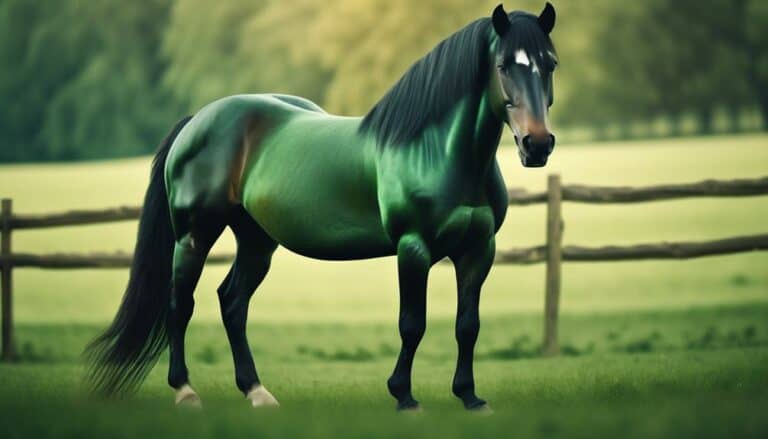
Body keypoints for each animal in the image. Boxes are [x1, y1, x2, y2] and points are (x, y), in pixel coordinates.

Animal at [86, 3, 558, 411]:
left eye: (550, 63)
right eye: (504, 66)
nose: (536, 144)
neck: (436, 150)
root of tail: (198, 120)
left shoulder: (478, 250)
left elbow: (467, 325)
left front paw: (470, 397)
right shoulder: (413, 248)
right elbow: (412, 324)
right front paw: (404, 396)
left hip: (256, 240)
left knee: (232, 303)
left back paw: (257, 392)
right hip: (194, 235)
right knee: (180, 304)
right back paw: (186, 392)